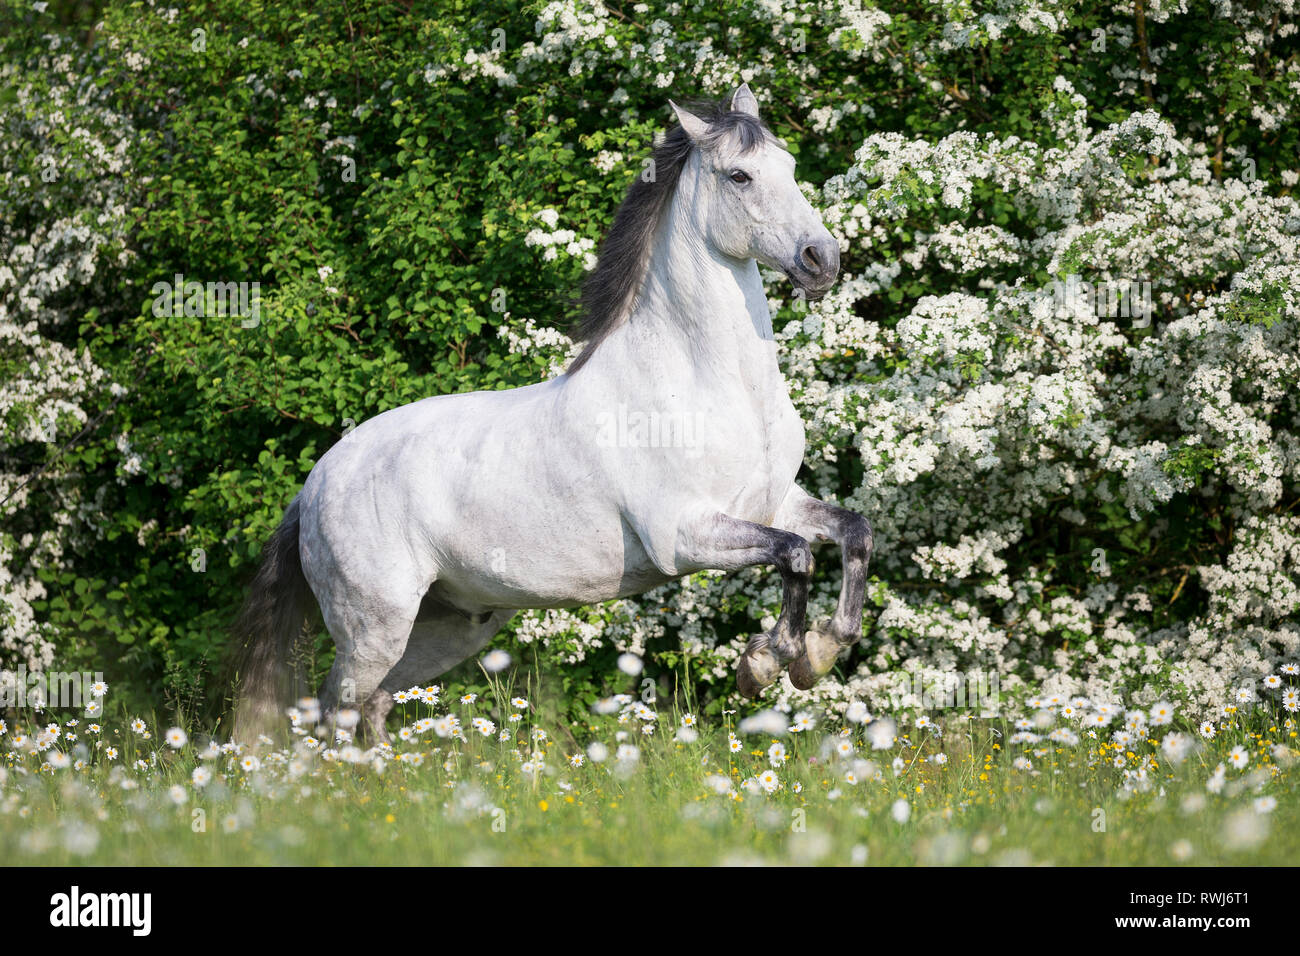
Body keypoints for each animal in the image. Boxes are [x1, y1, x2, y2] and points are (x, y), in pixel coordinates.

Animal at [231, 84, 873, 743]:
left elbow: (854, 532)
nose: (821, 259)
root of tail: (313, 485)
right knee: (330, 715)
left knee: (376, 706)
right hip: (373, 627)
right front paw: (765, 664)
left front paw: (819, 653)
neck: (705, 383)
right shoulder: (684, 537)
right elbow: (795, 554)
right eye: (739, 175)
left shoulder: (772, 506)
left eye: (790, 166)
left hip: (447, 625)